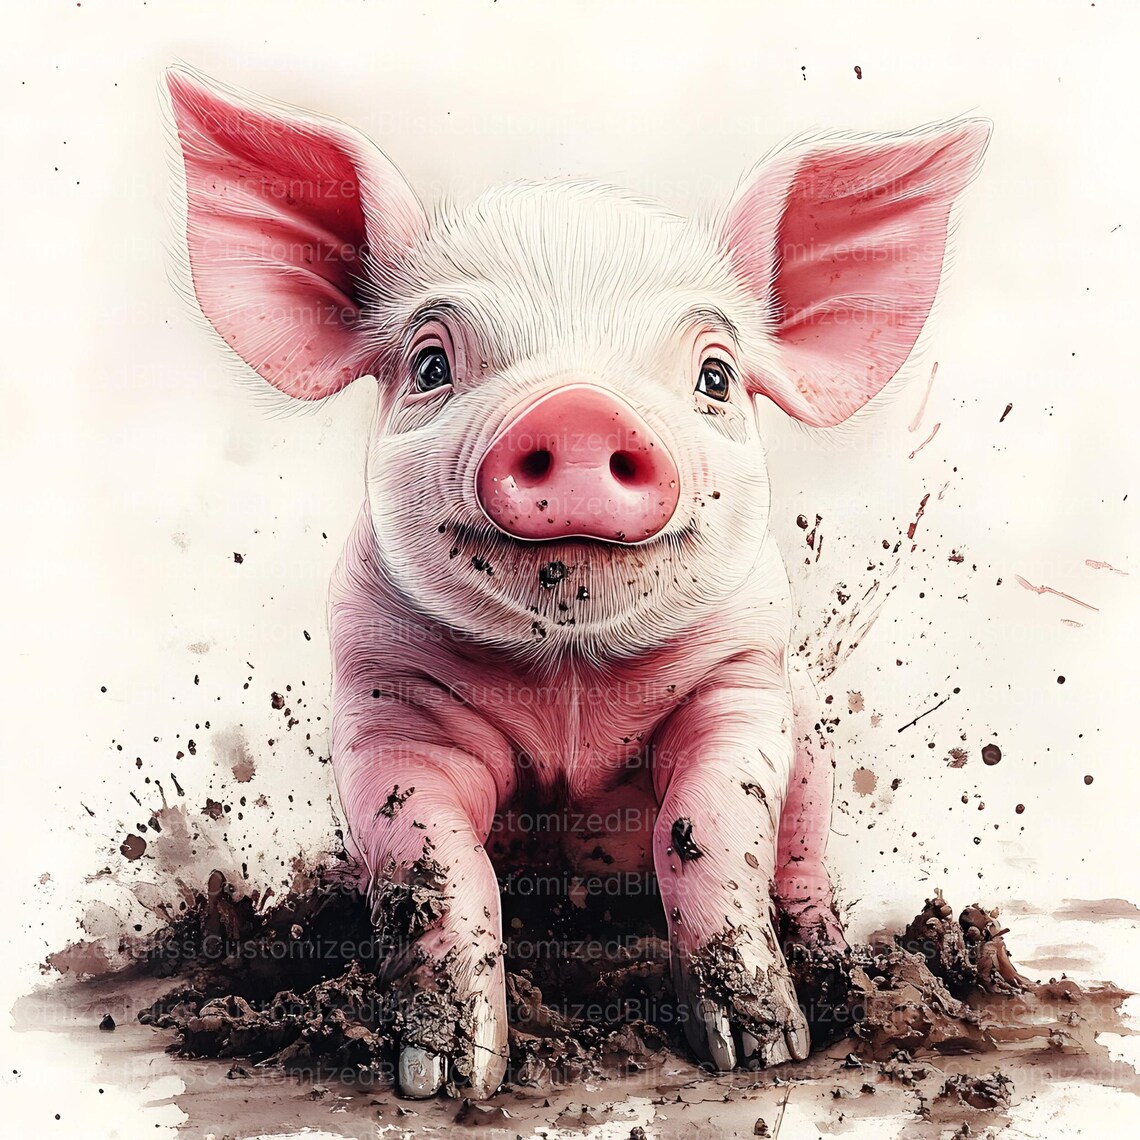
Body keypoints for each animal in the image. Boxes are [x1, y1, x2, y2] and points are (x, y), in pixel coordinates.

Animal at [166, 68, 988, 1099]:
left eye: (715, 376)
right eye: (430, 362)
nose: (581, 412)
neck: (572, 683)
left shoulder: (745, 682)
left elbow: (708, 826)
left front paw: (764, 1054)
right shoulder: (389, 703)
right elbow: (432, 859)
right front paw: (447, 1079)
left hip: (819, 765)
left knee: (798, 862)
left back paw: (833, 966)